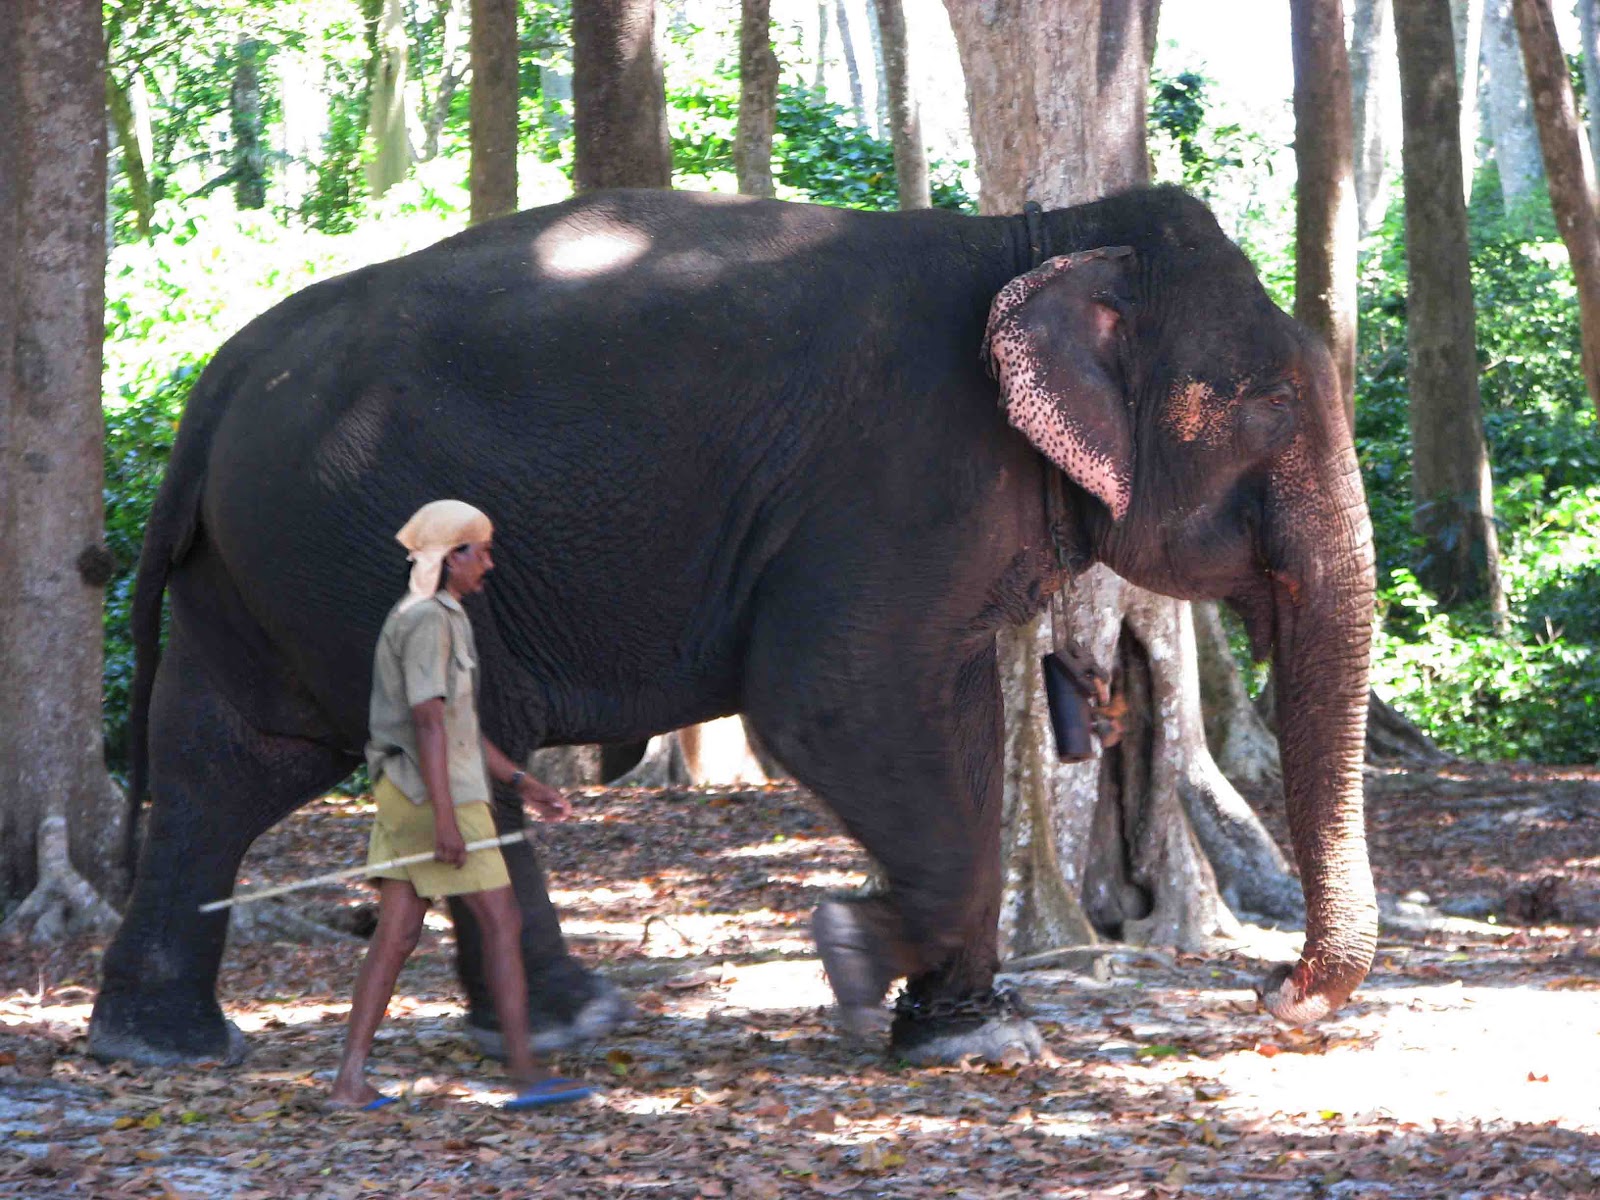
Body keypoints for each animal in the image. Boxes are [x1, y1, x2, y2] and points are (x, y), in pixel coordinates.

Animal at [88, 184, 1378, 1067]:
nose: (1276, 994)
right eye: (1270, 407)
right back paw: (575, 1021)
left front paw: (965, 1036)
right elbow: (828, 702)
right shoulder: (894, 475)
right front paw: (853, 951)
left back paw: (165, 1045)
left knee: (228, 762)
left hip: (272, 561)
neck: (1034, 234)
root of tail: (218, 379)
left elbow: (950, 714)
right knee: (439, 742)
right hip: (362, 543)